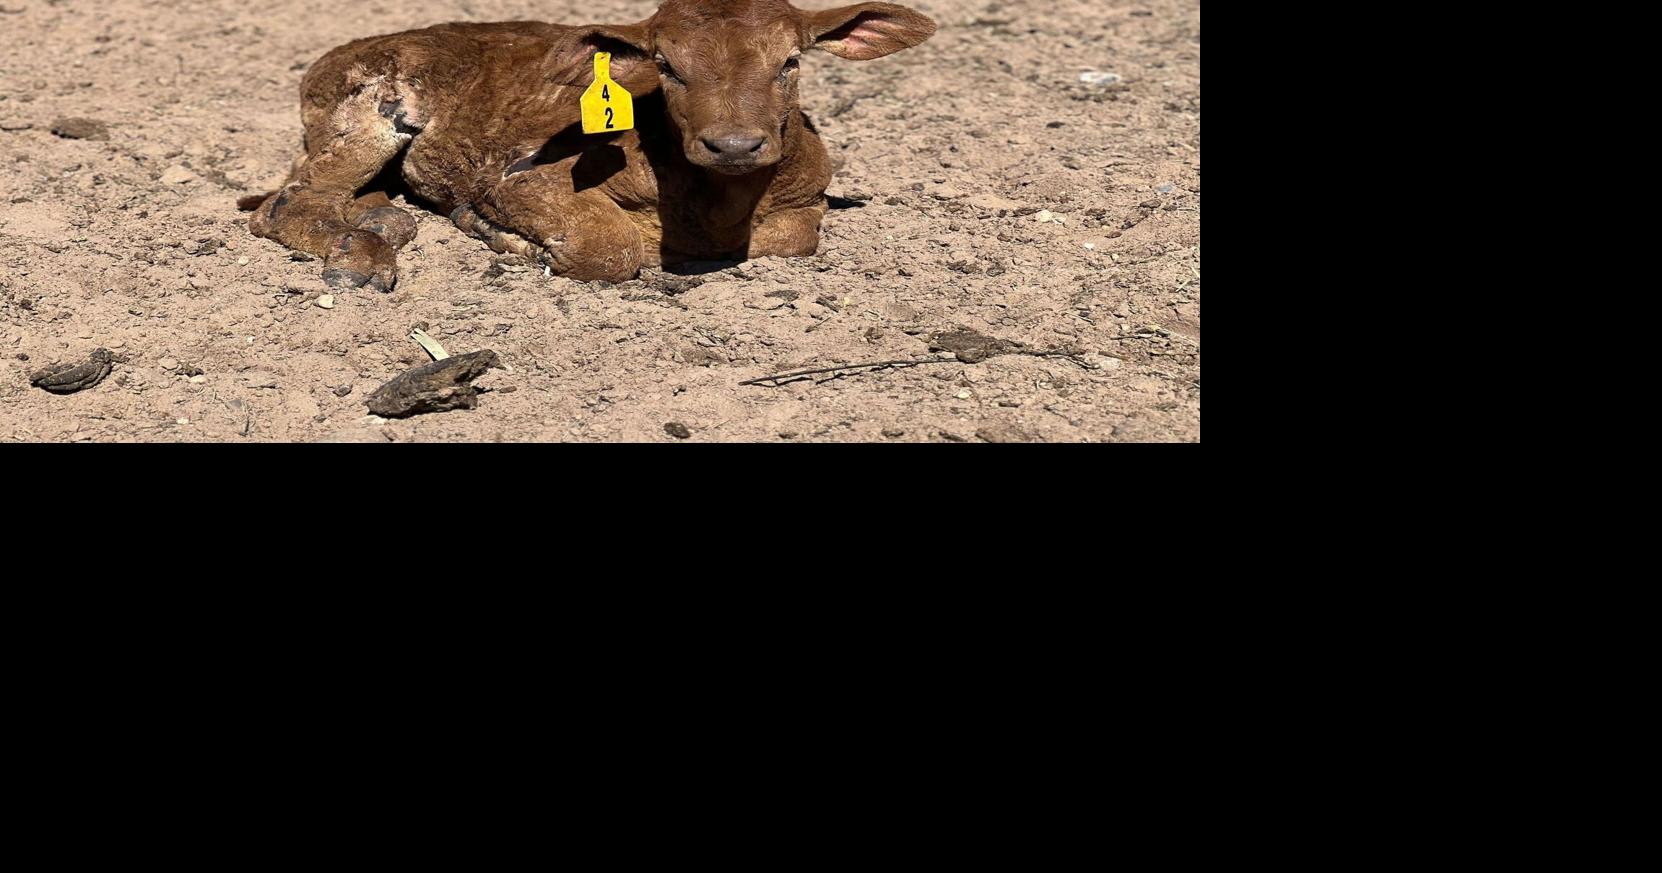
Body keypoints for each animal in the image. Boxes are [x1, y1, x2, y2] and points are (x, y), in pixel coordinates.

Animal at [241, 0, 937, 289]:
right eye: (666, 65)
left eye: (791, 61)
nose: (734, 145)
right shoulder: (520, 175)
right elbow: (611, 248)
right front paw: (506, 237)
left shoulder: (806, 196)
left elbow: (795, 238)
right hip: (364, 112)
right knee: (287, 202)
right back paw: (359, 254)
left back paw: (382, 220)